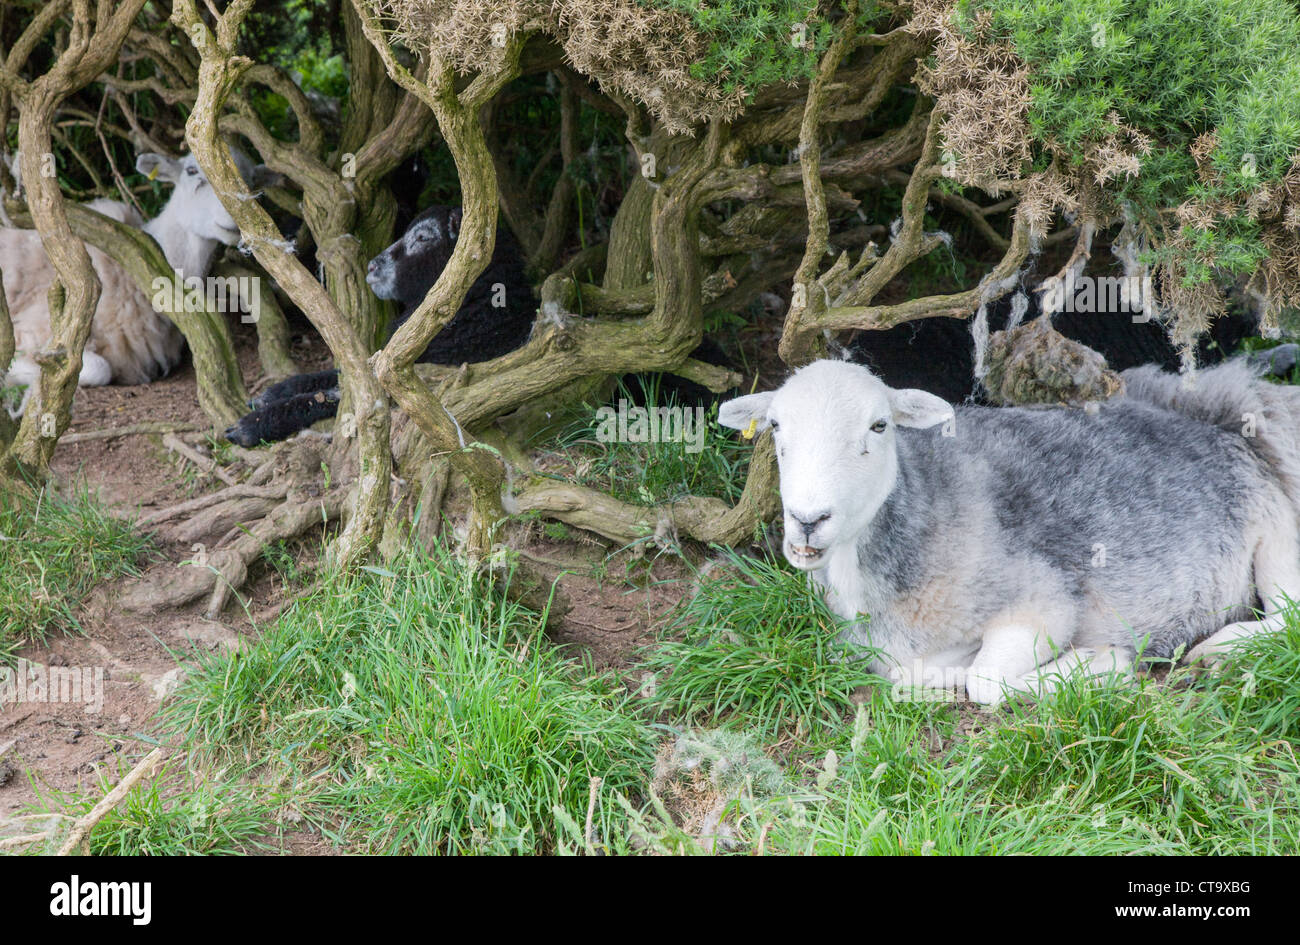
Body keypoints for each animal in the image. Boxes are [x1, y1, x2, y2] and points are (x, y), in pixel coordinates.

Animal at [718, 354, 1300, 705]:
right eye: (775, 427)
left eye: (879, 426)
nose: (808, 521)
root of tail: (1229, 422)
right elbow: (902, 672)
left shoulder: (1043, 602)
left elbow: (987, 682)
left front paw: (1100, 663)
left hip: (1277, 535)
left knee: (1288, 618)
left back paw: (1217, 649)